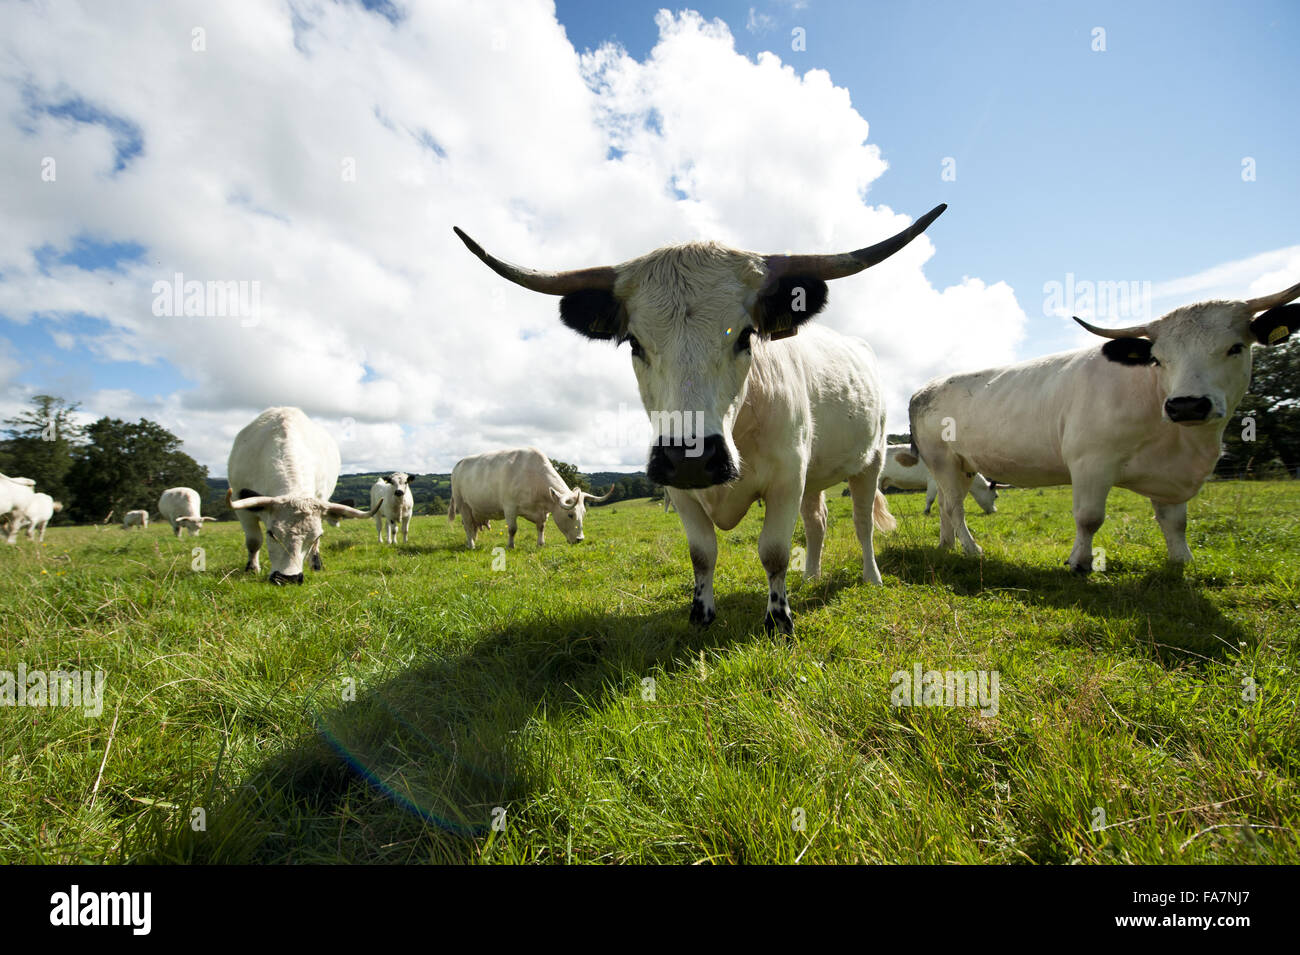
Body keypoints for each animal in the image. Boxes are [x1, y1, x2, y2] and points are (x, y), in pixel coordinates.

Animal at [225, 406, 376, 584]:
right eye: (271, 533)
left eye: (316, 536)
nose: (287, 578)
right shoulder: (241, 504)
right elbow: (254, 541)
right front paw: (252, 569)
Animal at [448, 448, 611, 549]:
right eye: (570, 515)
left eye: (583, 514)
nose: (580, 539)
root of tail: (458, 464)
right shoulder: (509, 507)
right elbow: (512, 529)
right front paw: (510, 546)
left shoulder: (542, 512)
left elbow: (541, 527)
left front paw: (541, 543)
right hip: (462, 505)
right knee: (468, 526)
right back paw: (472, 545)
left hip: (474, 510)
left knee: (472, 527)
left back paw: (471, 542)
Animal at [910, 281, 1298, 573]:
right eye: (1158, 359)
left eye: (1236, 348)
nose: (1187, 404)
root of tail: (926, 388)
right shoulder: (1090, 463)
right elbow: (1089, 517)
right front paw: (1079, 563)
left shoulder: (1169, 474)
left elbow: (1174, 522)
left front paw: (1181, 561)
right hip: (943, 461)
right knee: (954, 507)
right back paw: (971, 548)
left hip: (960, 465)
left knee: (944, 505)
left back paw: (946, 545)